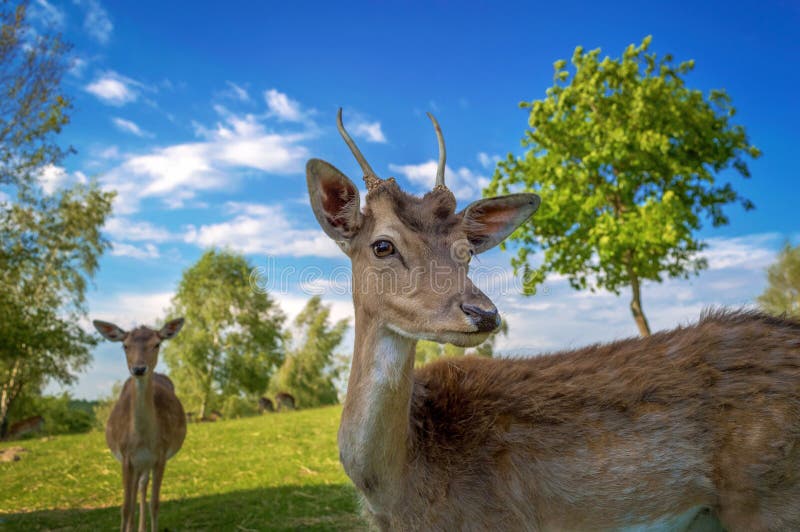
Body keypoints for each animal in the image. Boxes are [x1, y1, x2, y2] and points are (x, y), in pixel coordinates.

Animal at [94, 318, 187, 532]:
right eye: (125, 345)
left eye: (157, 344)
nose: (138, 369)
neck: (142, 440)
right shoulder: (126, 457)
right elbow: (125, 507)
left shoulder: (160, 456)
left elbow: (155, 503)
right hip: (136, 464)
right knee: (136, 490)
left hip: (146, 464)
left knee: (142, 486)